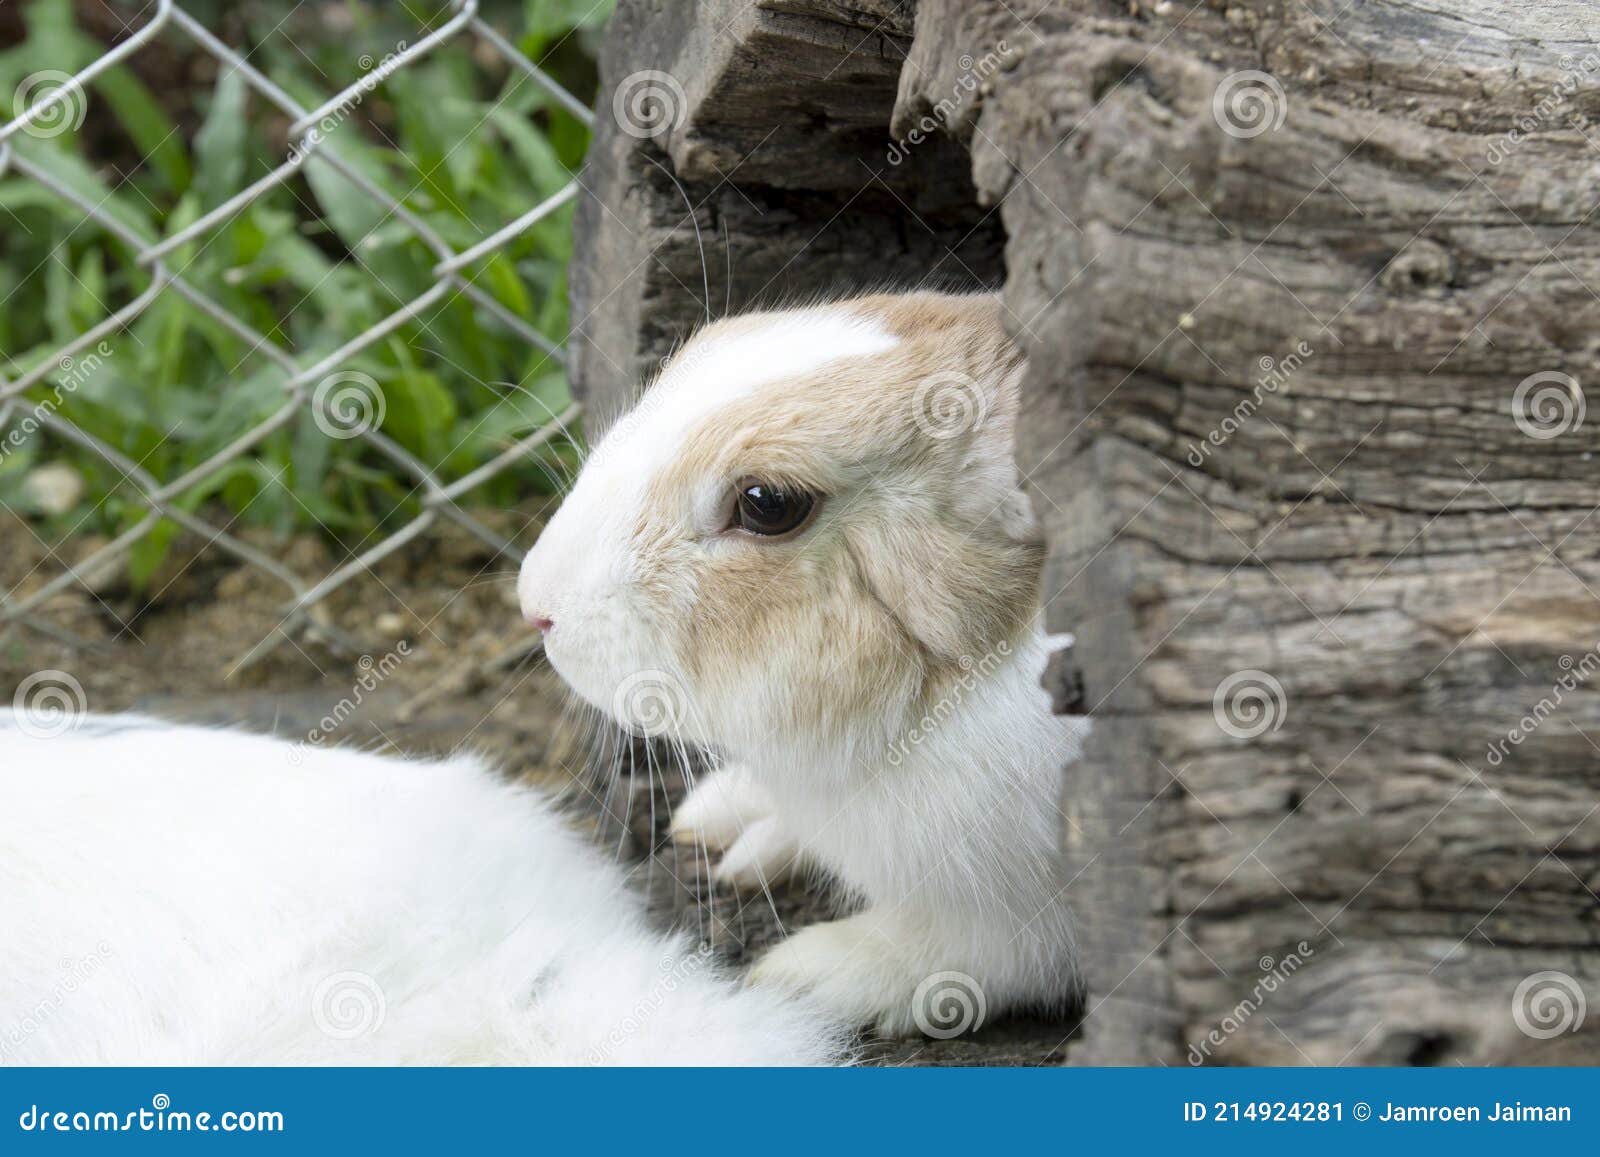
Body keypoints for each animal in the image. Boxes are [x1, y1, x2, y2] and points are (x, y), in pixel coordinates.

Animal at [519, 290, 1090, 1036]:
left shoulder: (1019, 908)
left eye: (768, 503)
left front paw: (806, 974)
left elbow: (974, 957)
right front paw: (721, 823)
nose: (536, 603)